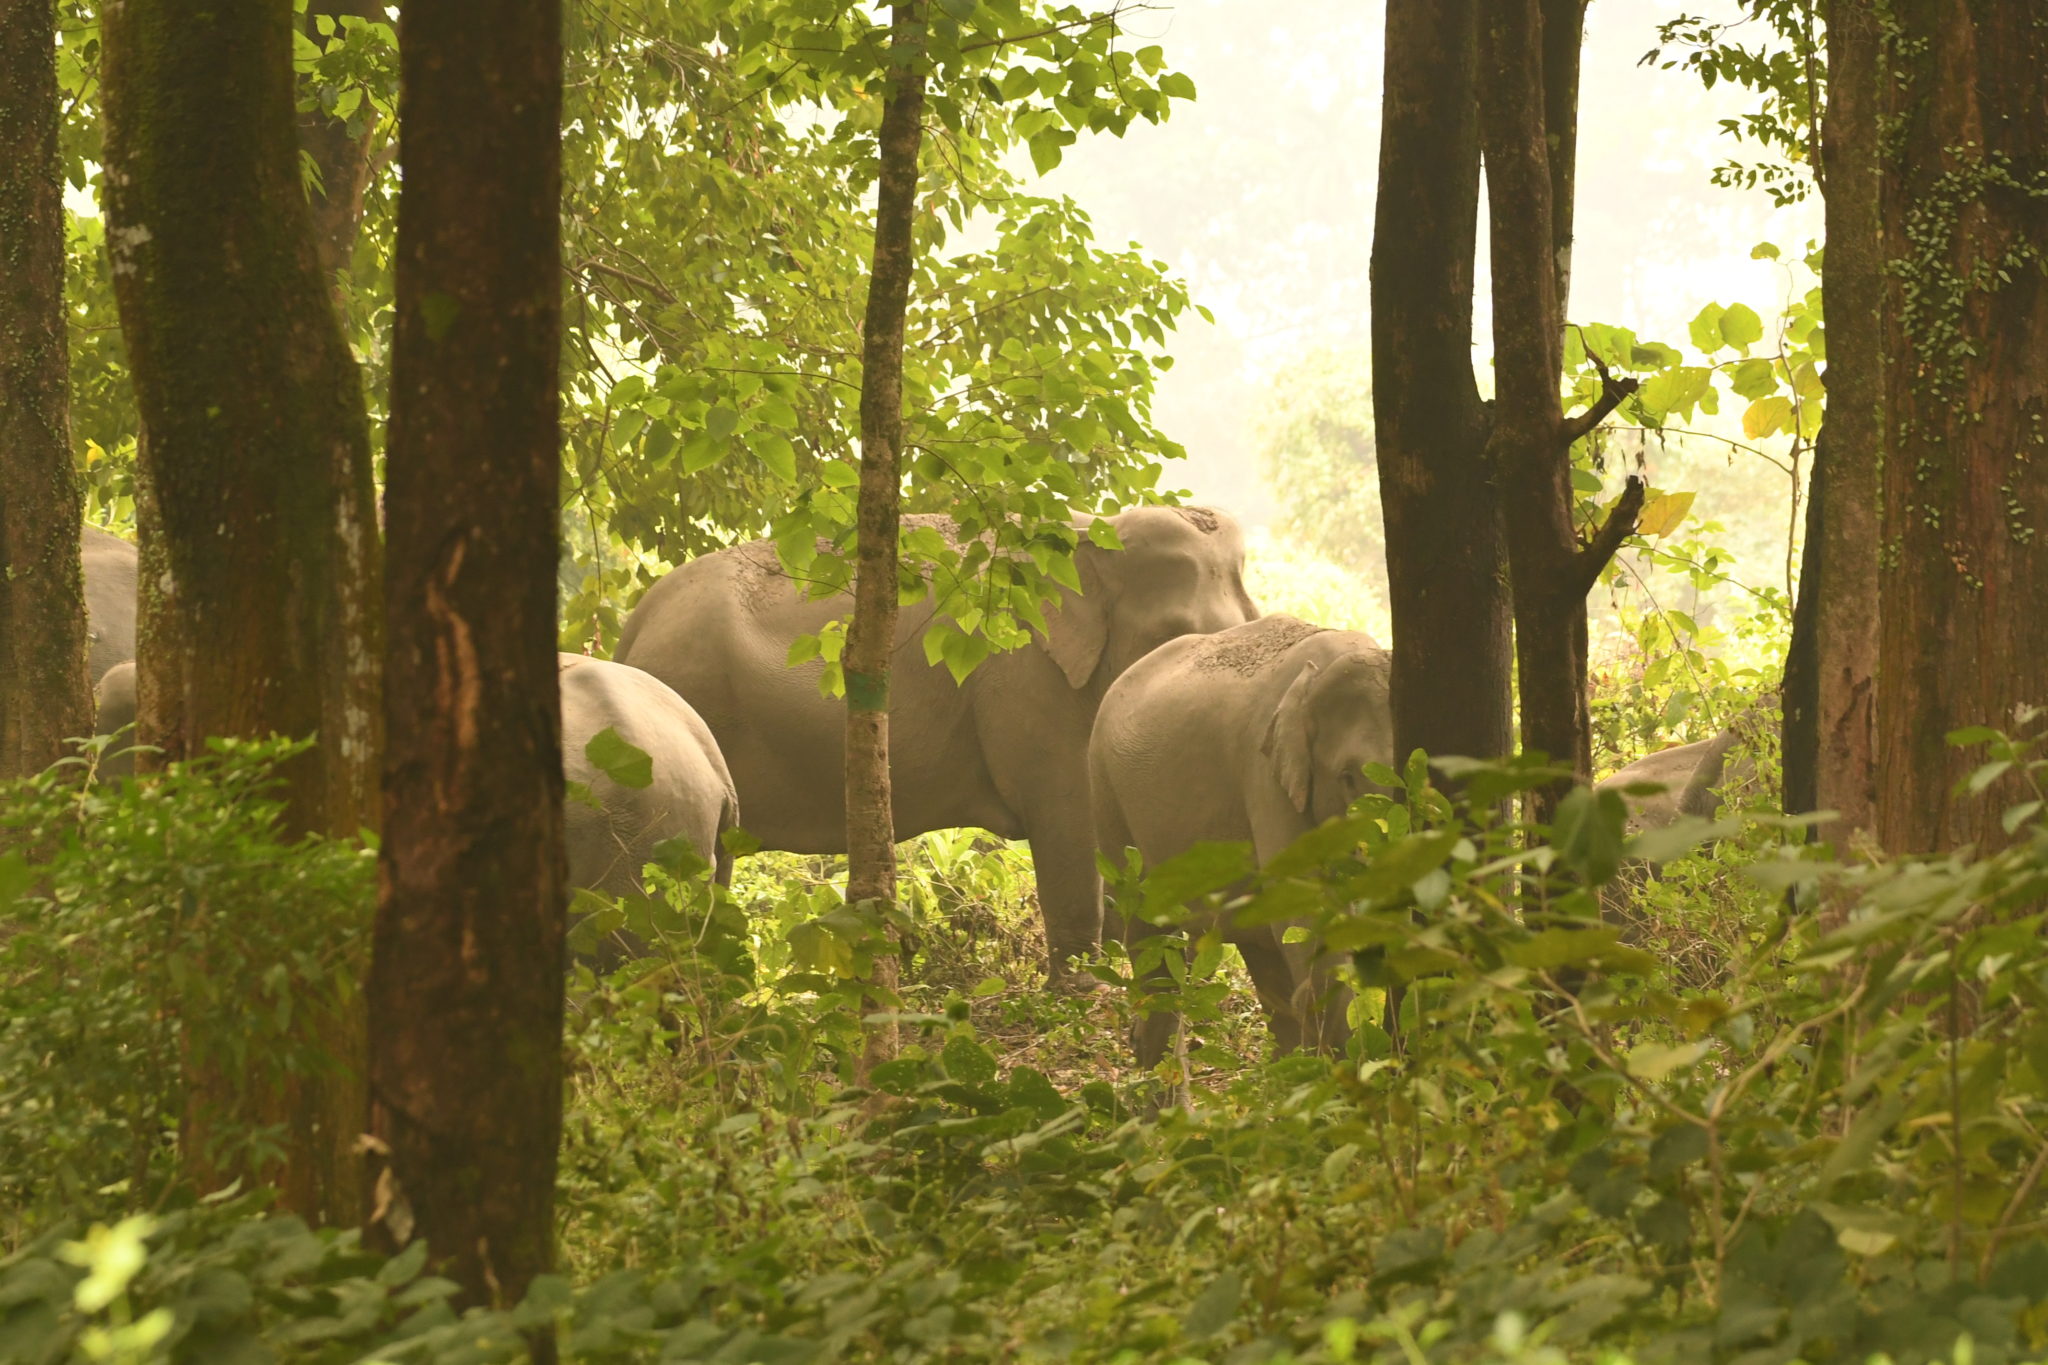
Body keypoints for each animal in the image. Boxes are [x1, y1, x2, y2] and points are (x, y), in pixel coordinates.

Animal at [613, 505, 1259, 980]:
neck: (1090, 529)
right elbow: (1069, 820)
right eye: (1172, 636)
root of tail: (634, 622)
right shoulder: (1025, 681)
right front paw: (1084, 991)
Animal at [1088, 615, 1394, 1066]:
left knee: (1264, 961)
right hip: (1107, 796)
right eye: (1348, 778)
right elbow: (1304, 908)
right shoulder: (1267, 778)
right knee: (1153, 945)